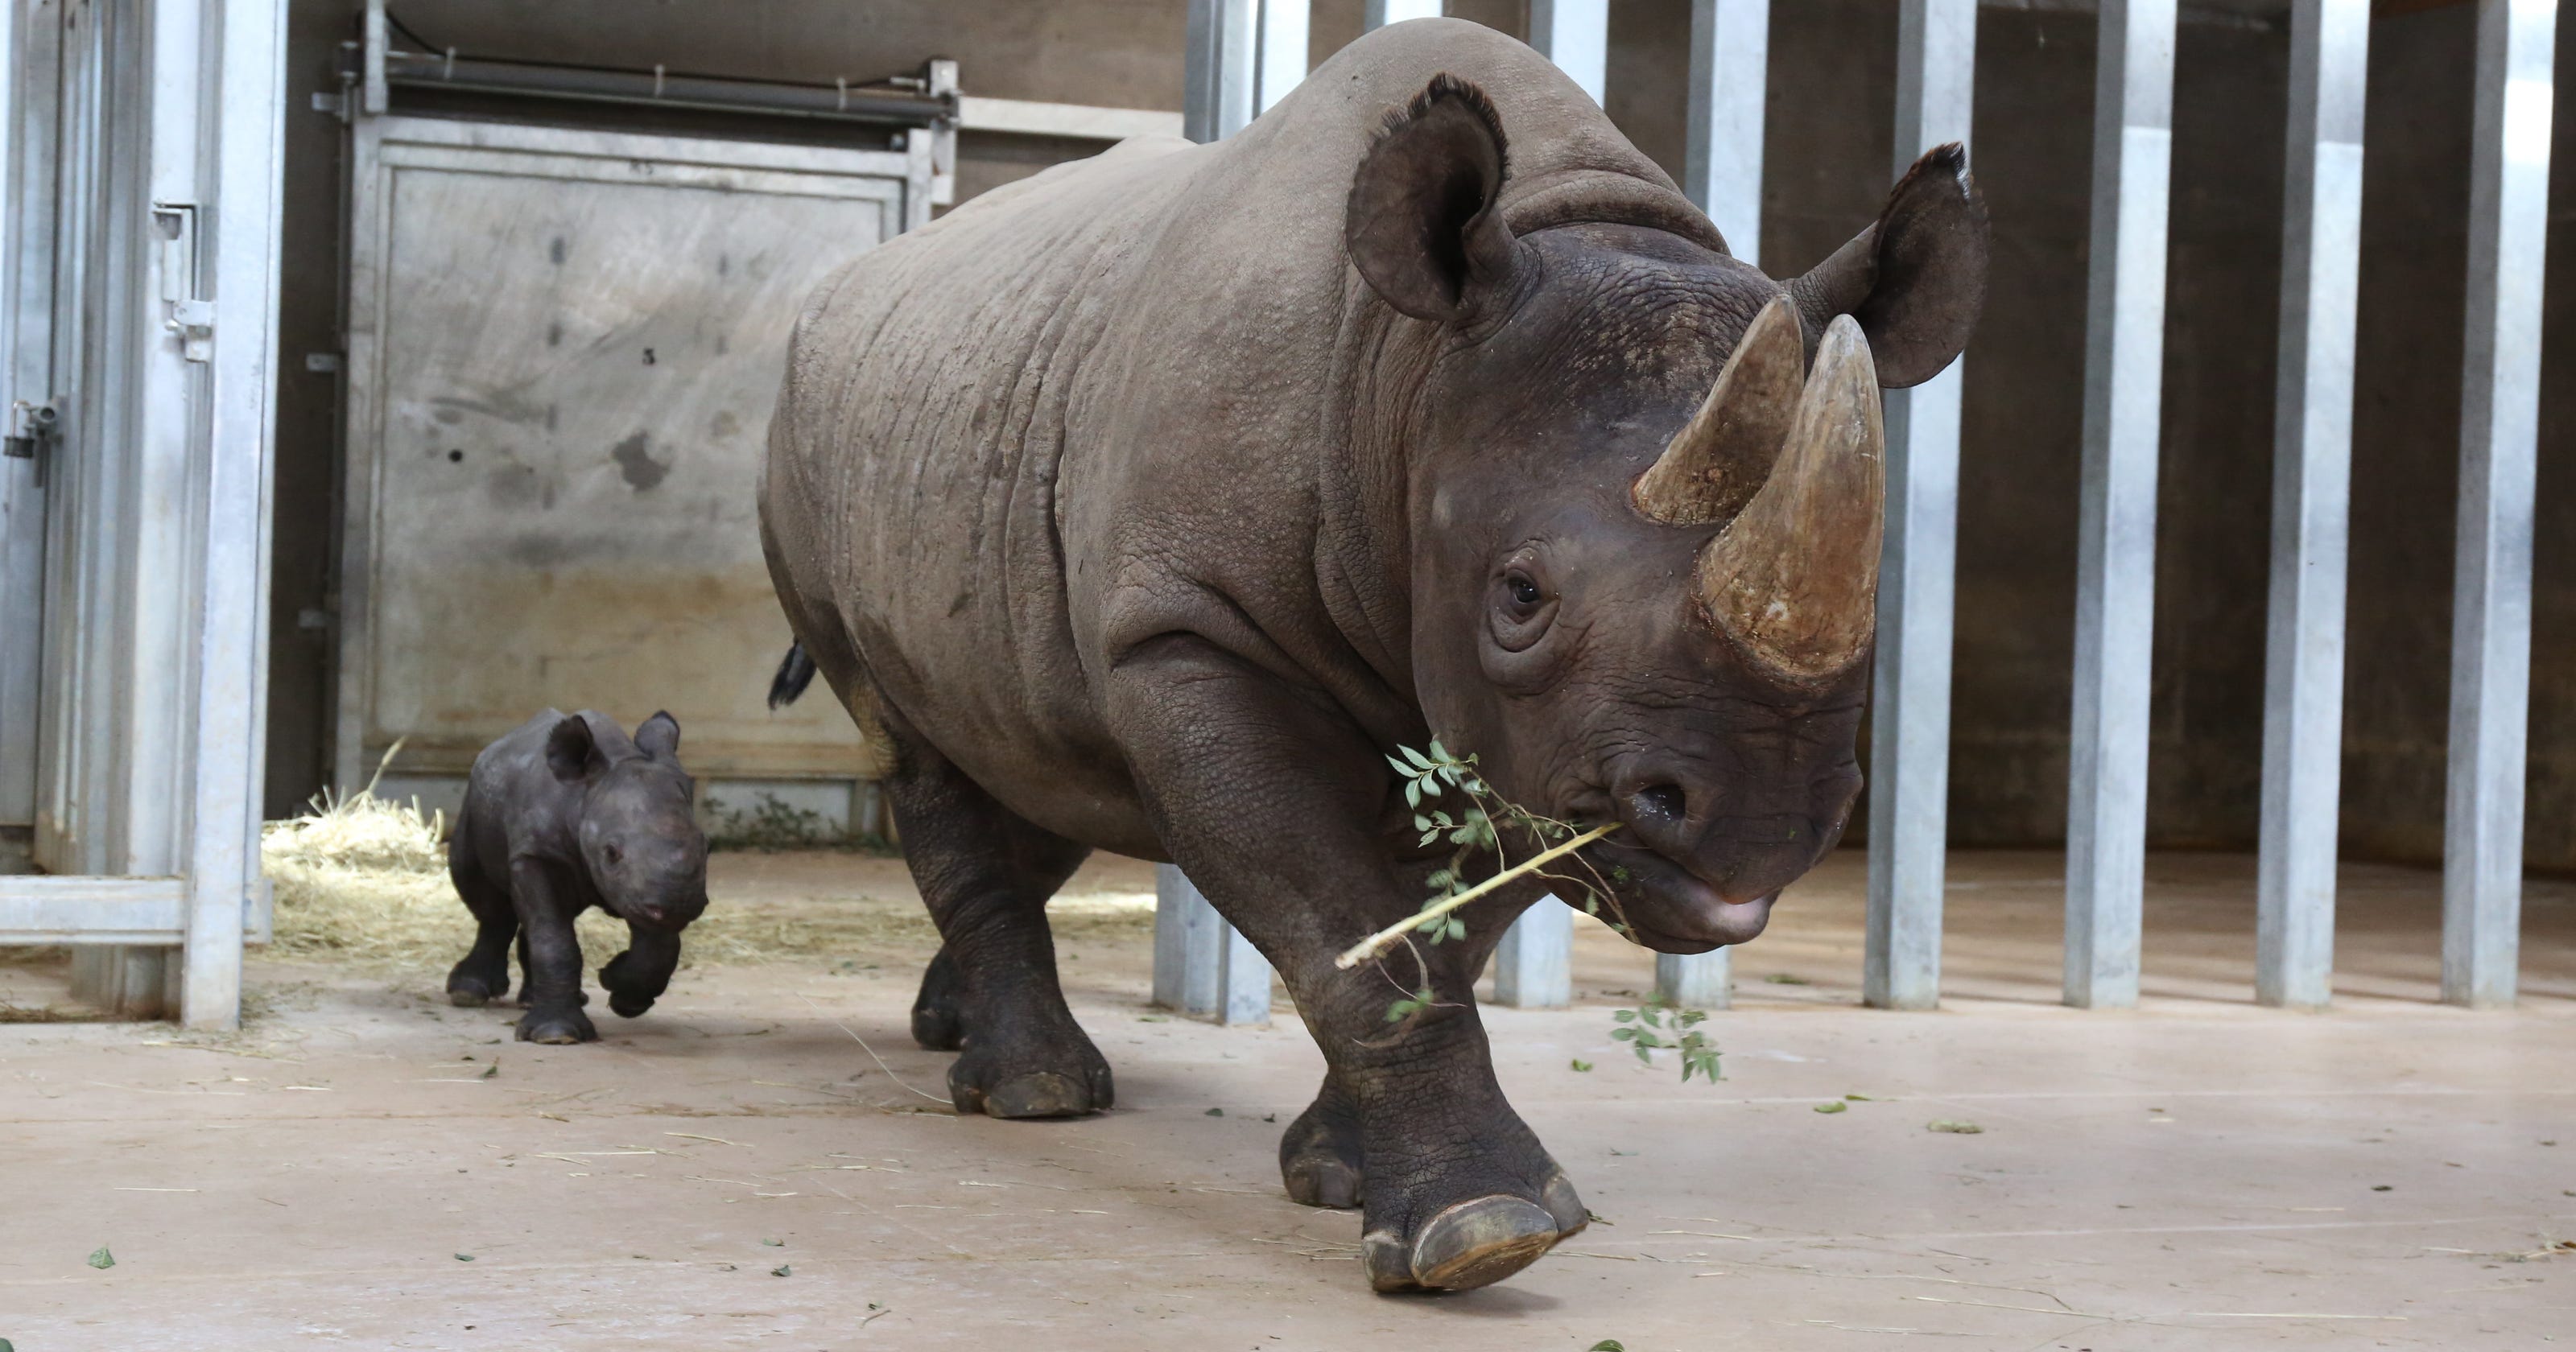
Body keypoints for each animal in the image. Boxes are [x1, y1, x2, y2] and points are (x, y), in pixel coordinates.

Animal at [761, 19, 1986, 1293]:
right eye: (1521, 597)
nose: (1760, 825)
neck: (1408, 372)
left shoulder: (1526, 749)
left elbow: (1439, 928)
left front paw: (1339, 1176)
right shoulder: (1188, 628)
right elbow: (1345, 930)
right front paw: (1480, 1232)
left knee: (1034, 755)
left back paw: (952, 1030)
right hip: (795, 448)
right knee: (913, 743)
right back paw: (1037, 1093)